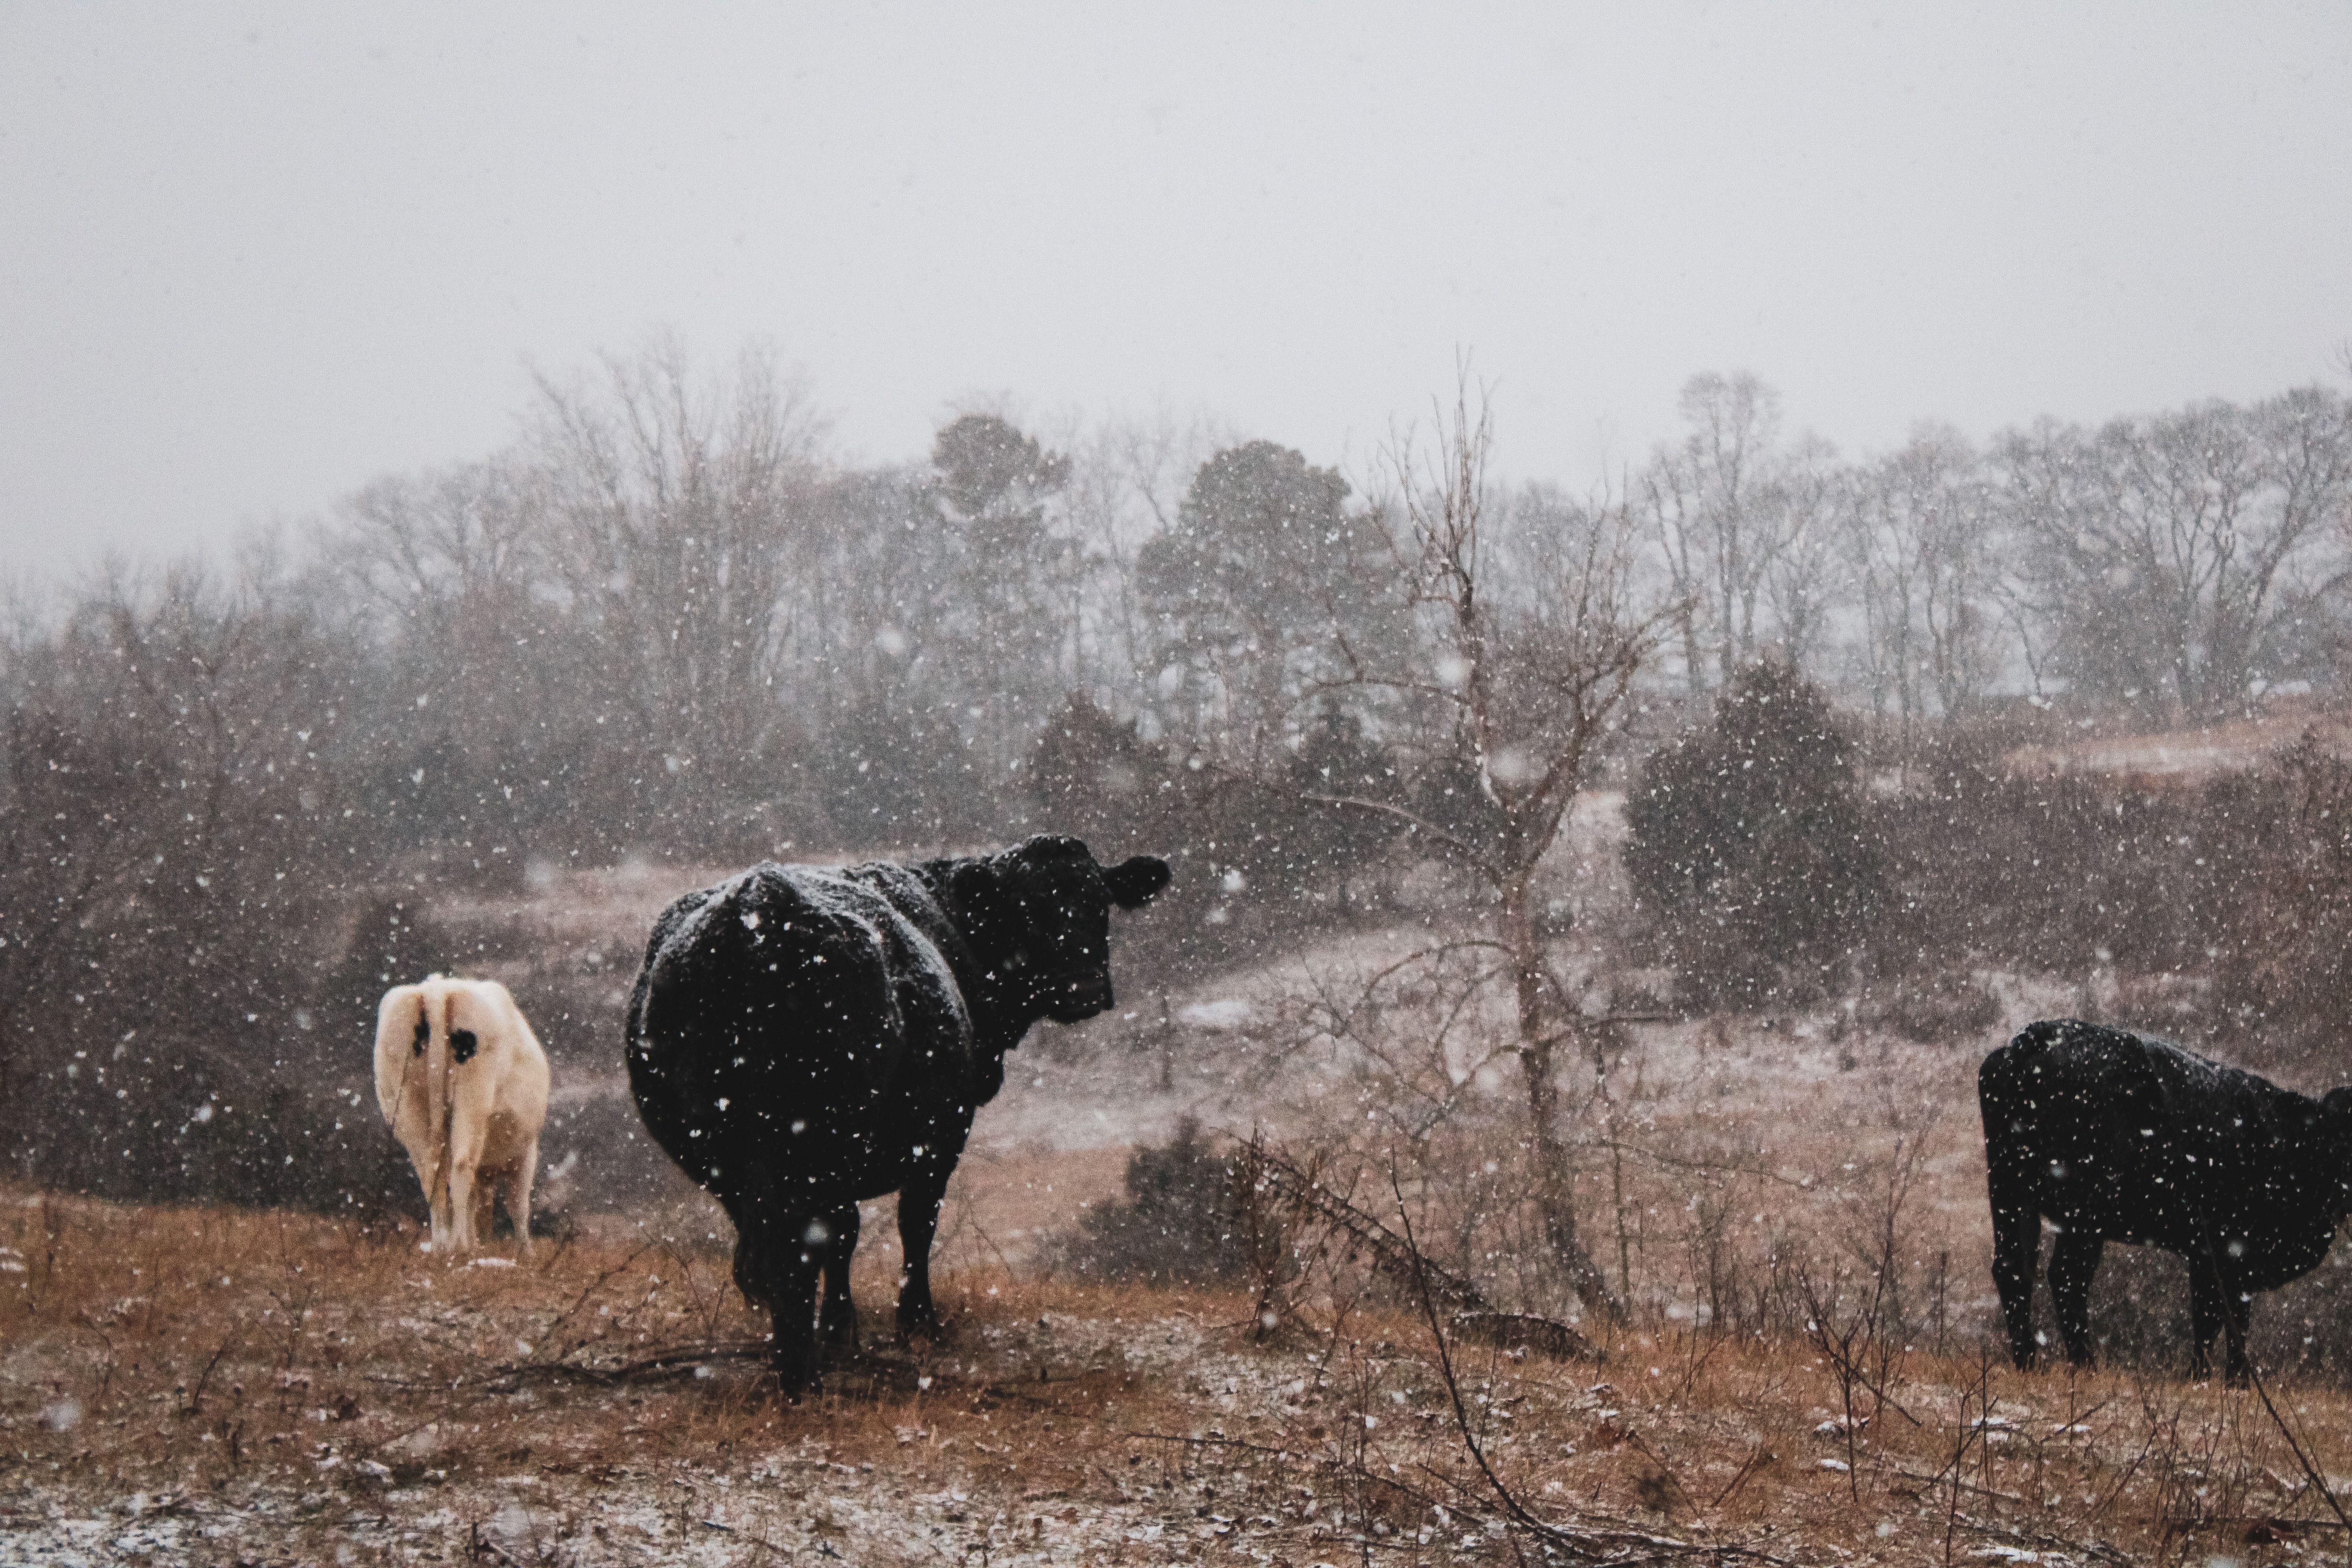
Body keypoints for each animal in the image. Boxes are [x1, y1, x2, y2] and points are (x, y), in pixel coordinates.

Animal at [374, 975, 552, 1258]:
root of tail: (436, 988)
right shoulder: (526, 1151)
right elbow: (518, 1205)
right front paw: (527, 1253)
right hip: (473, 1097)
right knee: (461, 1166)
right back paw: (460, 1247)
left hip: (405, 1106)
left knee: (430, 1174)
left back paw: (441, 1247)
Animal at [625, 834, 1169, 1393]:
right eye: (1026, 909)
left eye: (1100, 903)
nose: (1084, 989)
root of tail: (761, 903)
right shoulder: (943, 1132)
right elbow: (913, 1222)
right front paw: (911, 1323)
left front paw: (845, 1327)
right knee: (804, 1242)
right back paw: (802, 1373)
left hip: (725, 1148)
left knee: (772, 1239)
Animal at [1980, 1018, 2352, 1383]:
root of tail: (2035, 1037)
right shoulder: (2233, 1249)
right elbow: (2228, 1316)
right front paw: (2232, 1381)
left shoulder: (2205, 1254)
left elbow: (2209, 1316)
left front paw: (2201, 1377)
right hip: (2083, 1213)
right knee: (2067, 1276)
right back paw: (2085, 1365)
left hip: (2009, 1190)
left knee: (2014, 1267)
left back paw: (2028, 1362)